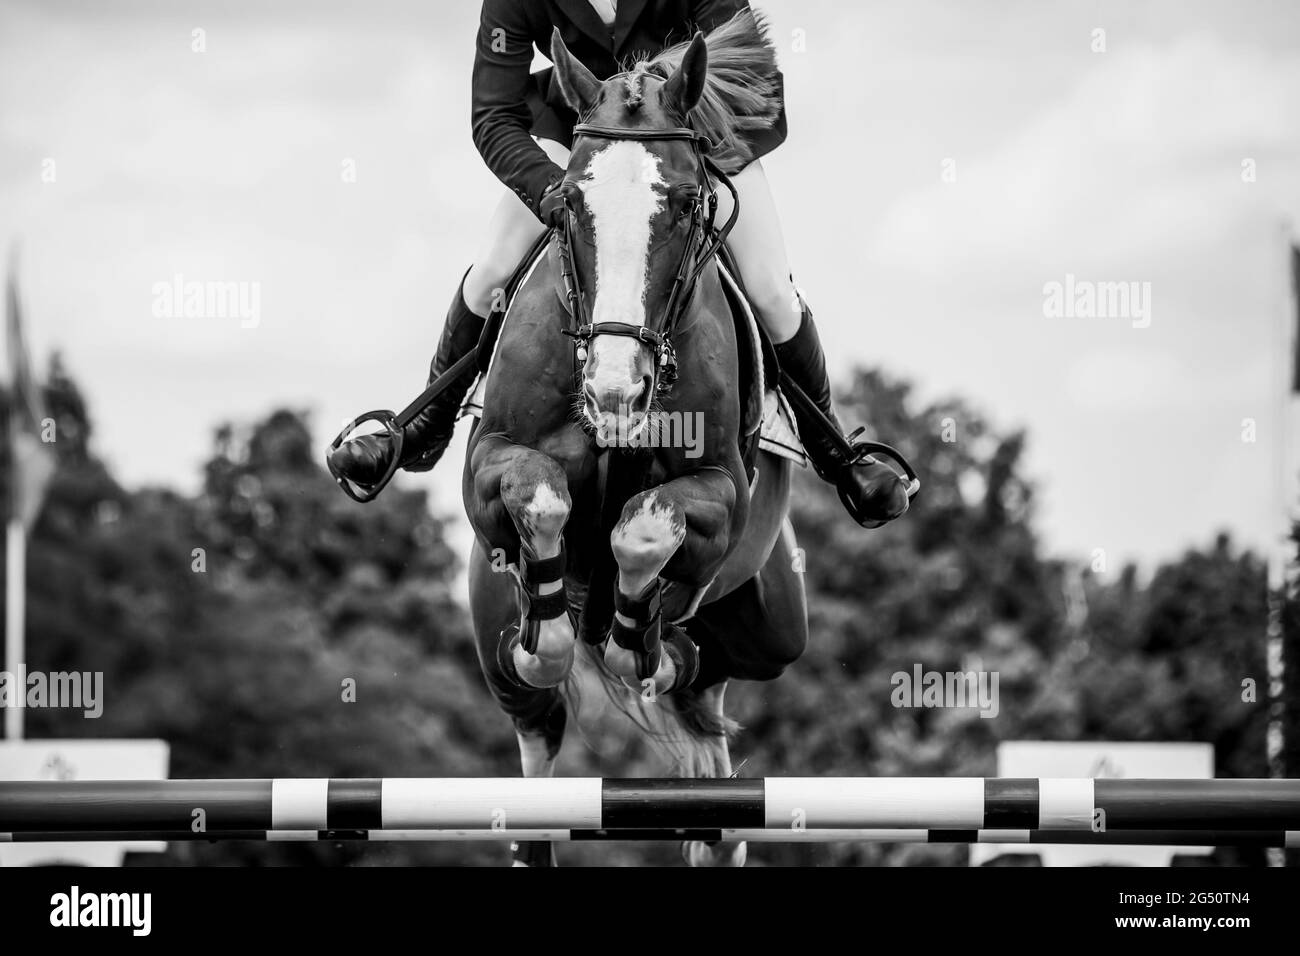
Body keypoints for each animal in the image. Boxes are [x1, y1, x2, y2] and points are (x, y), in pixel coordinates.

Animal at [462, 13, 805, 867]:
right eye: (566, 205)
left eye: (684, 204)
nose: (615, 390)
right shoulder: (490, 463)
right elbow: (543, 501)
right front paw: (551, 631)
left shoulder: (720, 493)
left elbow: (644, 529)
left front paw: (633, 640)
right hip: (496, 649)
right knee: (536, 737)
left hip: (768, 629)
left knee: (709, 703)